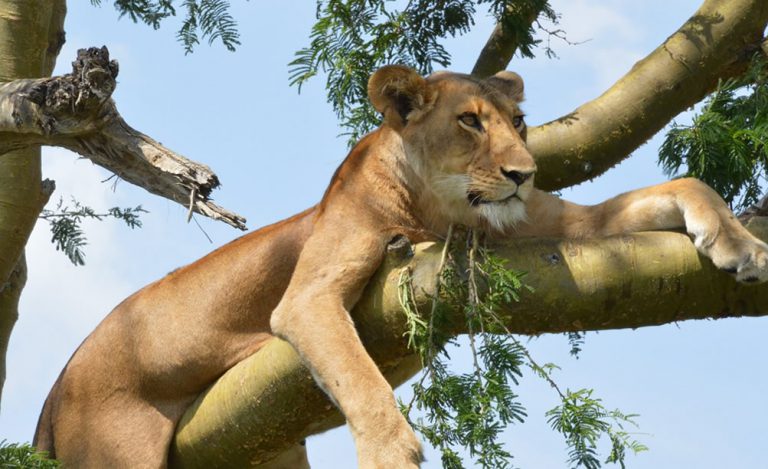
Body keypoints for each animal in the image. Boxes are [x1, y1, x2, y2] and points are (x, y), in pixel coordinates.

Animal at [34, 65, 768, 468]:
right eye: (470, 121)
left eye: (520, 122)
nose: (525, 173)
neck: (440, 210)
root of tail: (56, 388)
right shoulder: (305, 297)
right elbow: (359, 377)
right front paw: (392, 452)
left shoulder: (555, 227)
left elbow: (684, 182)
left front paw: (742, 245)